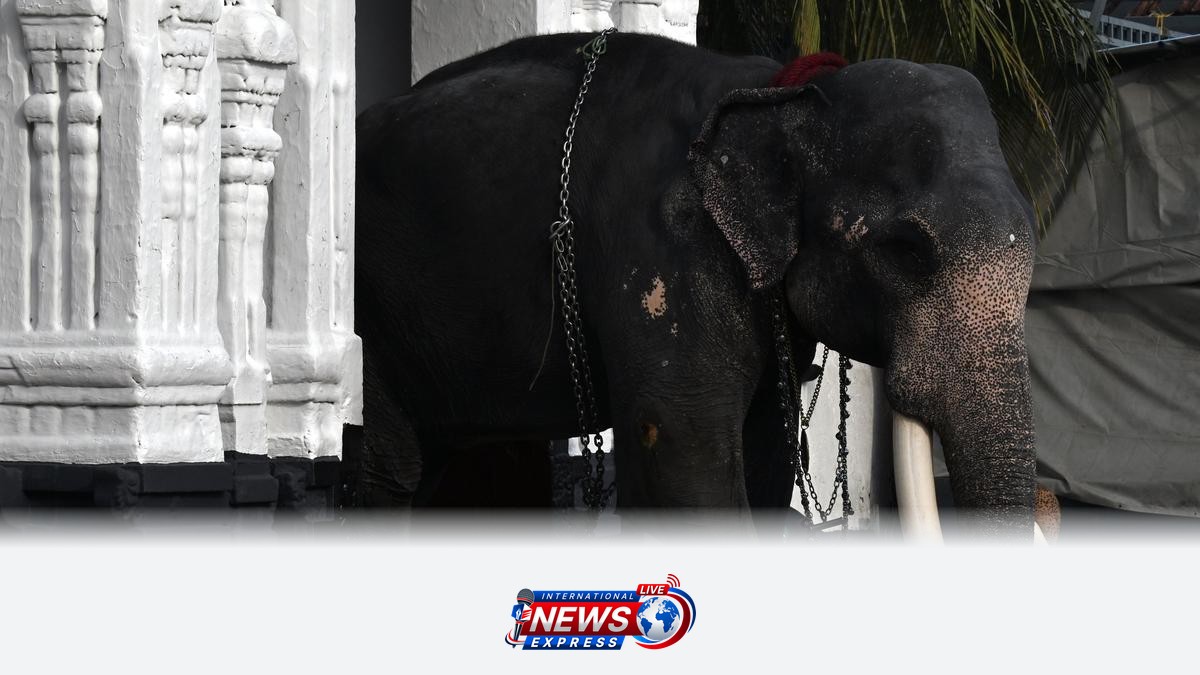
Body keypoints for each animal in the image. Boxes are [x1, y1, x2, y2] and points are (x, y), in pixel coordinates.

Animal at [354, 32, 1037, 536]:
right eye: (907, 251)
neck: (779, 92)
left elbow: (765, 451)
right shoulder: (665, 246)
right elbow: (681, 449)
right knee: (390, 472)